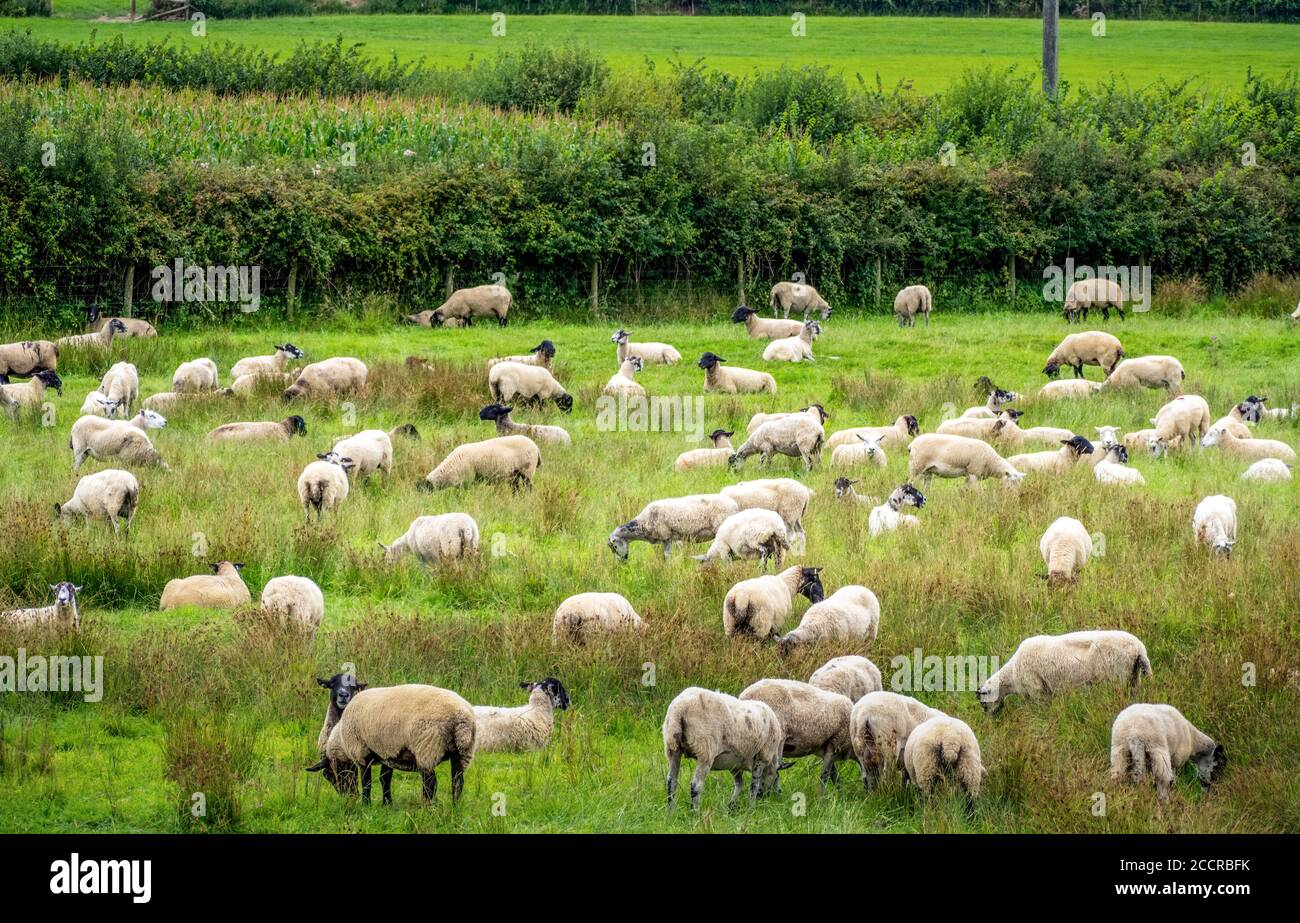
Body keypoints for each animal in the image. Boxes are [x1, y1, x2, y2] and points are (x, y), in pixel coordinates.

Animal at [307, 684, 476, 805]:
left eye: (329, 775)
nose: (348, 797)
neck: (342, 739)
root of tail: (461, 717)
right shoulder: (386, 752)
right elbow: (384, 779)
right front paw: (386, 803)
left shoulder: (361, 752)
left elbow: (366, 782)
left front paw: (365, 804)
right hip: (462, 753)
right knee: (457, 782)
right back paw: (455, 808)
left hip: (427, 748)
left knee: (430, 783)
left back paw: (428, 807)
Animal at [608, 493, 738, 561]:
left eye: (615, 546)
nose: (622, 563)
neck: (642, 523)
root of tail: (734, 505)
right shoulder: (667, 539)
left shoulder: (666, 536)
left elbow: (667, 556)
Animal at [977, 630, 1151, 713]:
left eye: (983, 703)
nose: (989, 715)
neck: (1011, 675)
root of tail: (1139, 648)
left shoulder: (1036, 689)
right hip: (1133, 677)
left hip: (1116, 677)